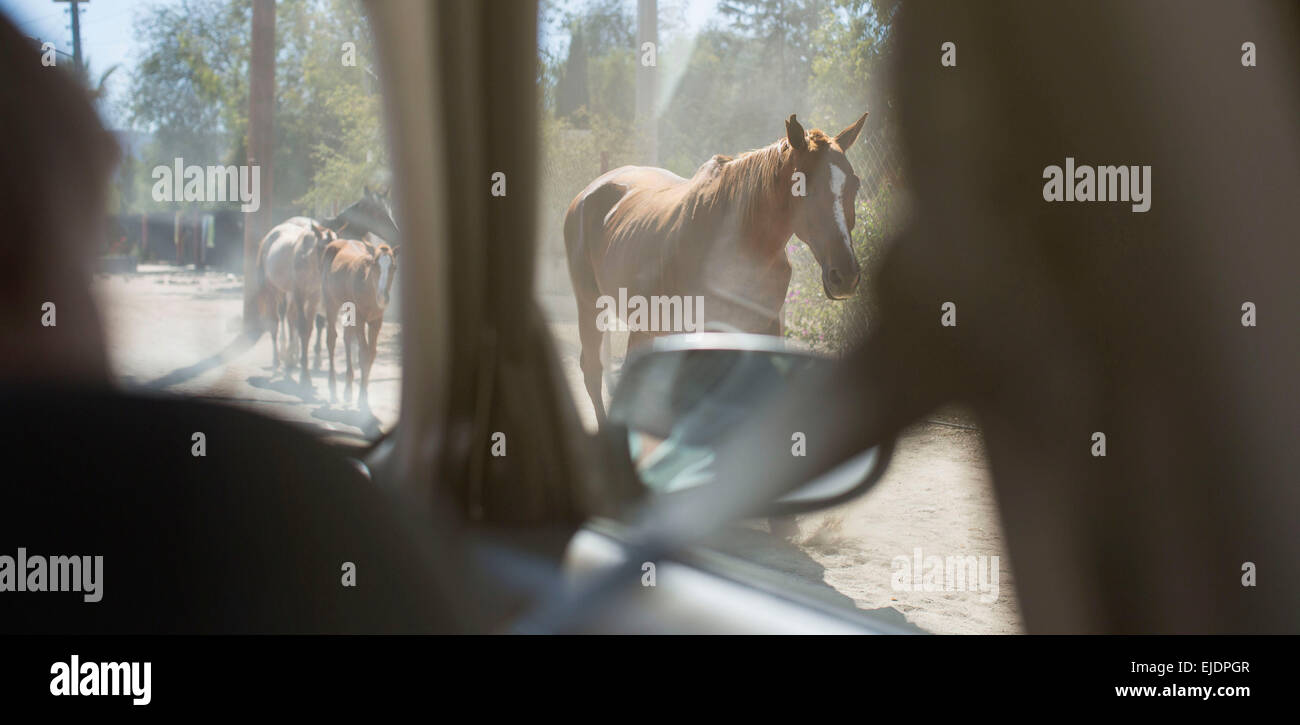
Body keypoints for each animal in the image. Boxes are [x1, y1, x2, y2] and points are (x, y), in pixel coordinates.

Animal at [319, 238, 398, 412]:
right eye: (374, 265)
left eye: (394, 267)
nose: (383, 298)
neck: (368, 288)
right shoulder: (360, 318)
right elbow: (363, 353)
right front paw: (363, 400)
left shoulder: (377, 320)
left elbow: (372, 353)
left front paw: (362, 395)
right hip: (330, 300)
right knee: (331, 338)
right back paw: (333, 390)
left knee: (347, 338)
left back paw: (347, 390)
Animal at [563, 112, 869, 425]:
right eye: (803, 185)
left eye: (854, 184)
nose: (845, 276)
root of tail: (587, 194)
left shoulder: (763, 330)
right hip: (591, 306)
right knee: (593, 371)